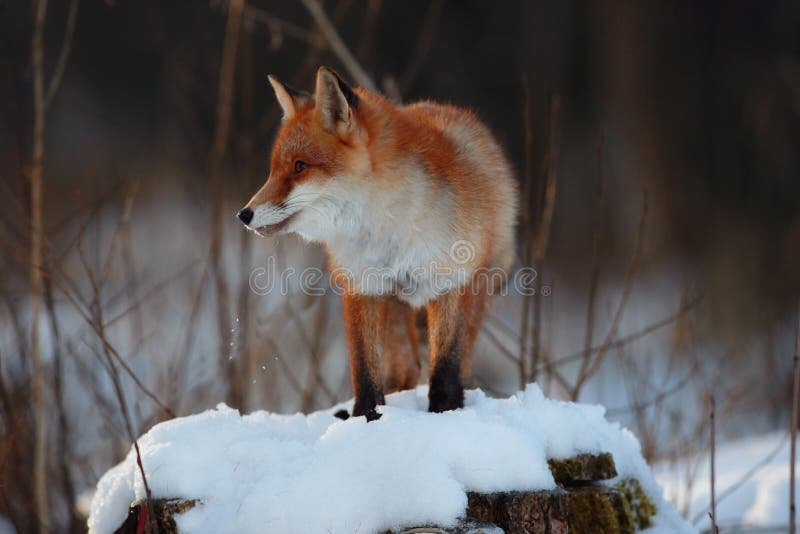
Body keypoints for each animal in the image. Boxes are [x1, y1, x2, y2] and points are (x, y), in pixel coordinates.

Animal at [238, 67, 518, 420]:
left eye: (299, 166)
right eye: (273, 169)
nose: (243, 214)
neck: (390, 232)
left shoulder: (449, 282)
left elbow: (445, 369)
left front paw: (445, 412)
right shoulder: (362, 286)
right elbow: (365, 372)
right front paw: (367, 419)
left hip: (476, 291)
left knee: (459, 364)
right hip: (396, 309)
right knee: (406, 371)